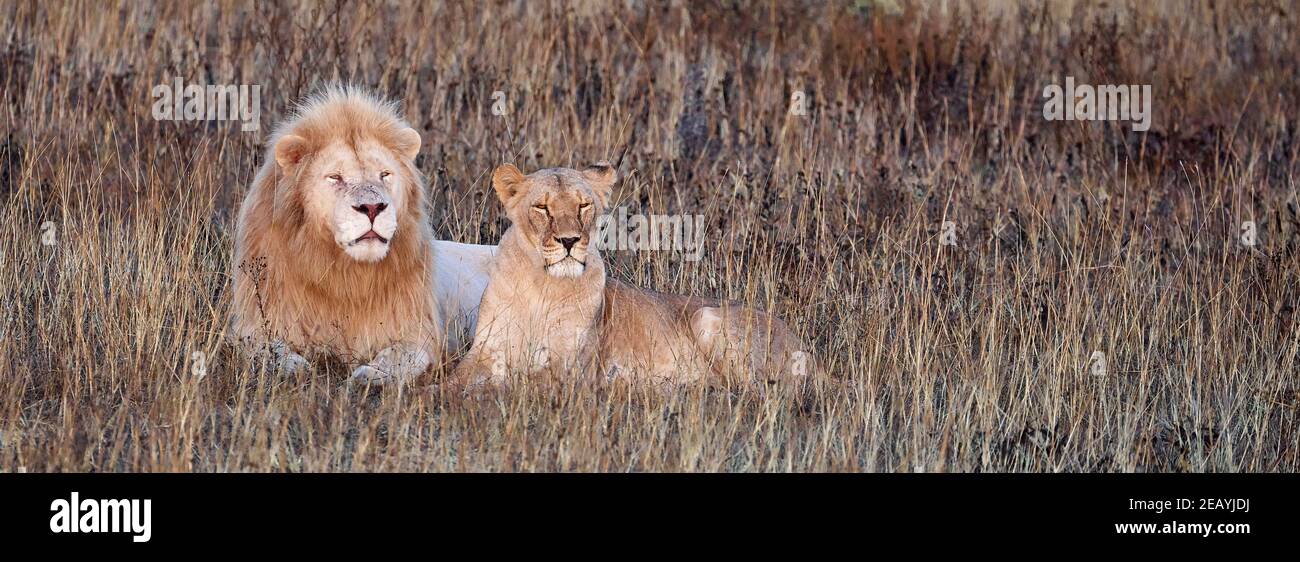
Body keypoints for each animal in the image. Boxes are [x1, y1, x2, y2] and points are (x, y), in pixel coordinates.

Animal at [229, 86, 494, 384]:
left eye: (385, 174)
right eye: (335, 177)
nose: (372, 207)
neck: (346, 275)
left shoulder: (418, 330)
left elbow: (400, 356)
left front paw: (370, 375)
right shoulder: (254, 324)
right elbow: (268, 351)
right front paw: (296, 369)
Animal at [449, 162, 810, 392]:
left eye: (583, 205)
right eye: (542, 207)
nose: (569, 241)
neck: (543, 285)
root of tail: (804, 346)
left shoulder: (570, 367)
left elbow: (517, 384)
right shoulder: (485, 350)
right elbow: (454, 379)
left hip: (707, 317)